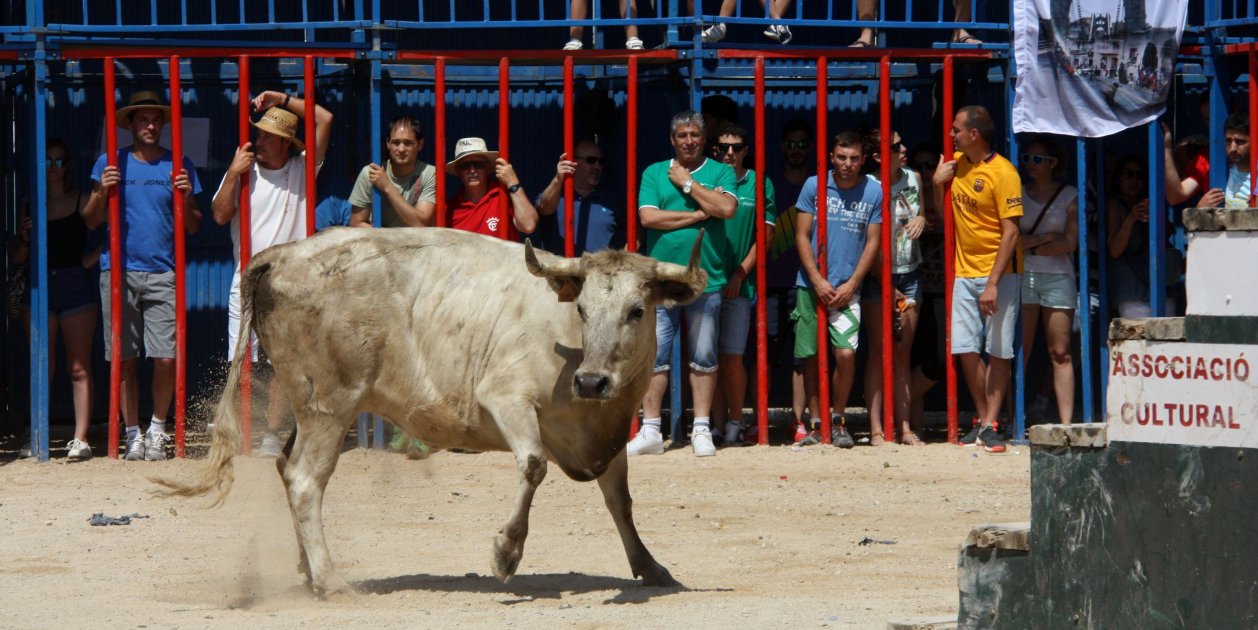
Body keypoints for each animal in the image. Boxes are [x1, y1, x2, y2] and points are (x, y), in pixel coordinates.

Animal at [157, 227, 706, 597]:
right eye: (584, 310)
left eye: (637, 310)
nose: (592, 381)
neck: (569, 345)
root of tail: (283, 254)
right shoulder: (504, 399)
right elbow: (533, 466)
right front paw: (506, 553)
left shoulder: (607, 433)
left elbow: (621, 502)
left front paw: (650, 566)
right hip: (331, 407)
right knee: (305, 481)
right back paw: (330, 578)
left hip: (308, 406)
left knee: (286, 468)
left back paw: (308, 570)